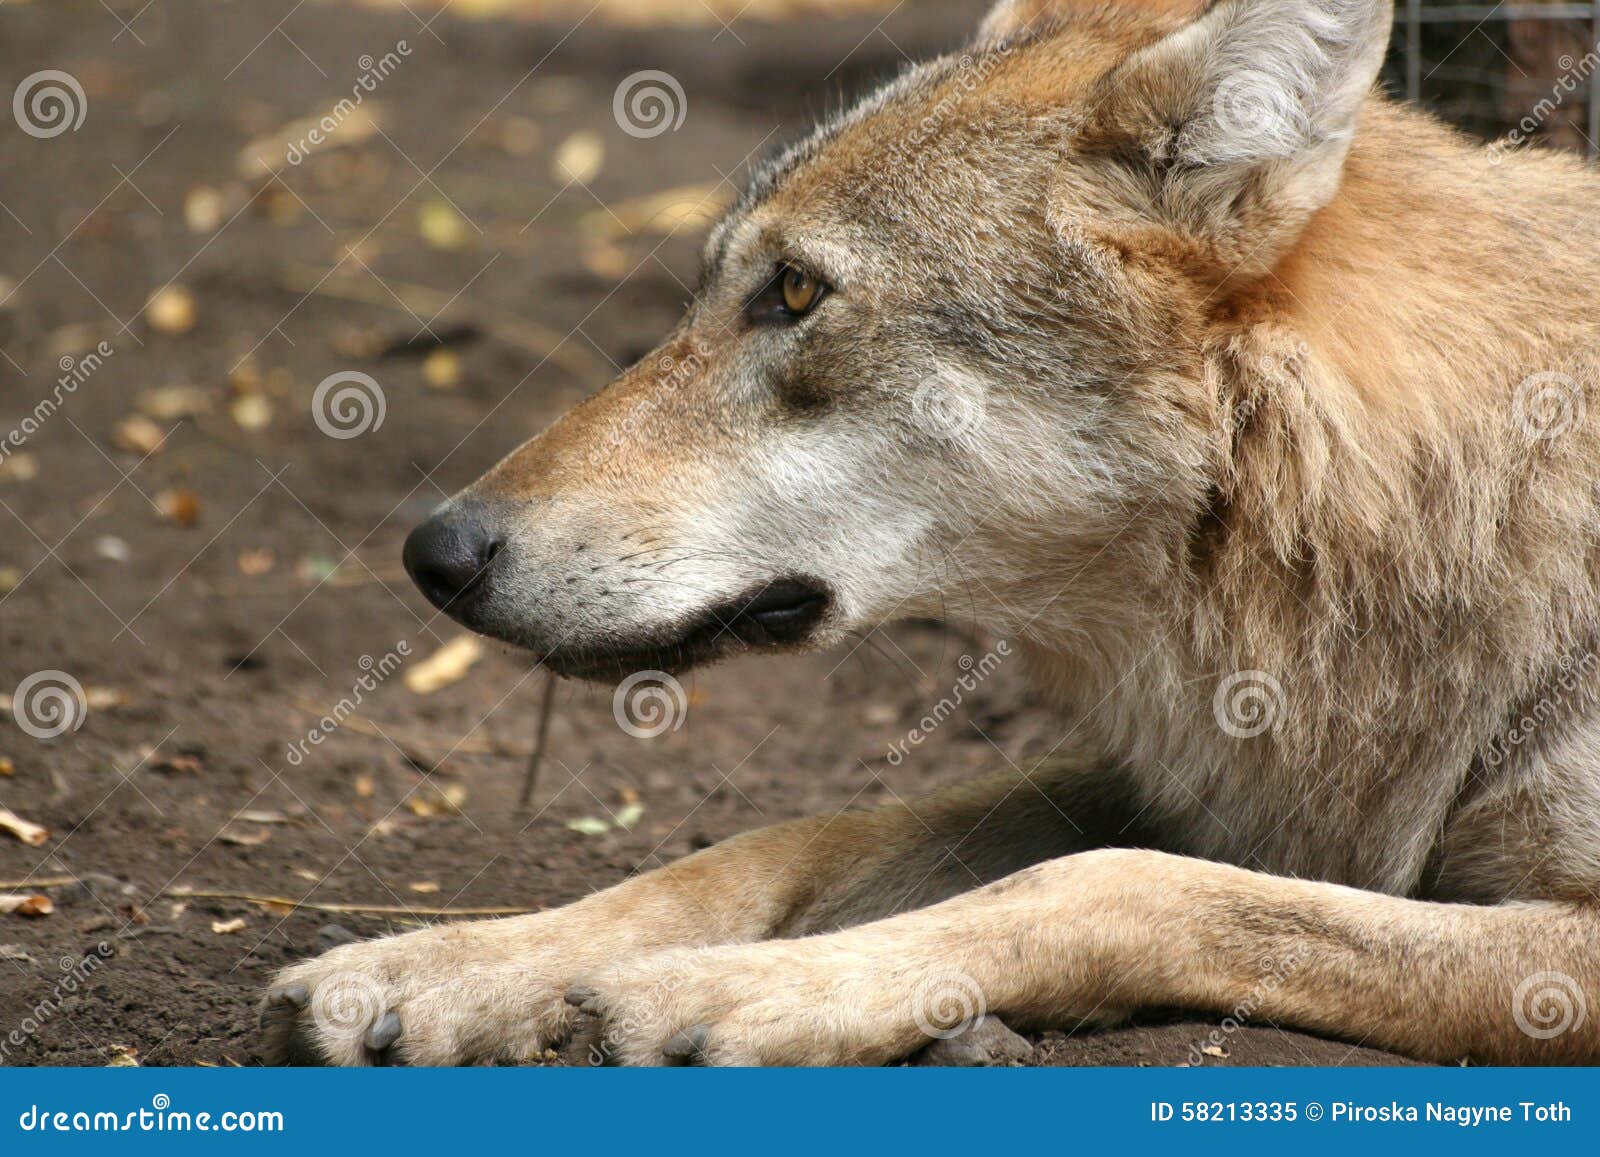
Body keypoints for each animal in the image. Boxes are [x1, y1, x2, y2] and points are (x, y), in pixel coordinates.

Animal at [261, 0, 1600, 1065]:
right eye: (707, 292)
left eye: (795, 292)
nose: (435, 553)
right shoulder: (1185, 786)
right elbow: (776, 841)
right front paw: (439, 966)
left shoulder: (1559, 944)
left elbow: (1115, 885)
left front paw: (743, 993)